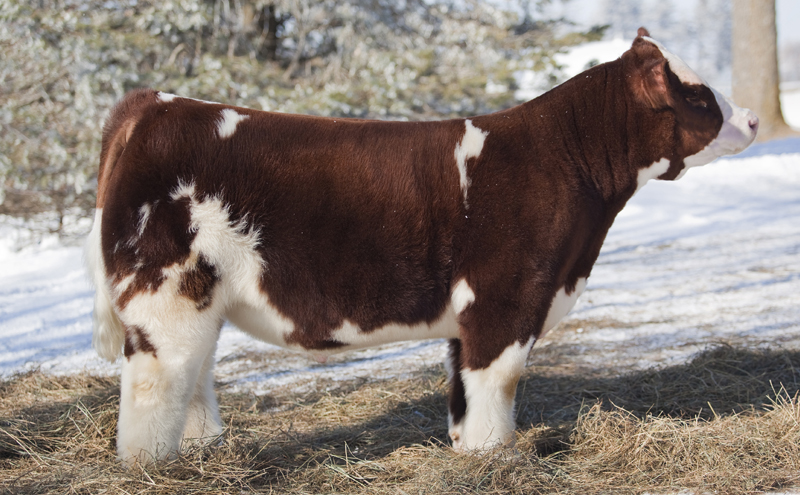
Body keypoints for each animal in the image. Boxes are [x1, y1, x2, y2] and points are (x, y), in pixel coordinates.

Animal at [85, 28, 758, 466]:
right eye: (699, 94)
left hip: (200, 300)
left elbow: (463, 389)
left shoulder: (473, 312)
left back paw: (202, 449)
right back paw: (152, 465)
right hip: (167, 292)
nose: (752, 119)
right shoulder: (504, 298)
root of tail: (153, 104)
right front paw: (496, 456)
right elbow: (499, 380)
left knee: (192, 373)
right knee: (155, 385)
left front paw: (469, 451)